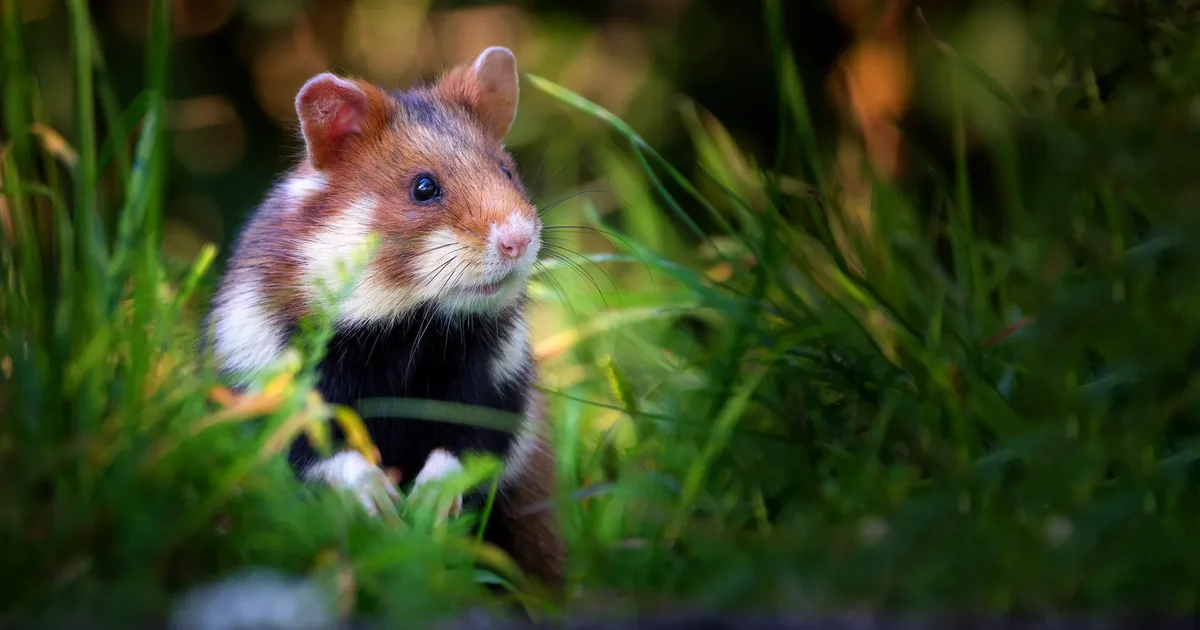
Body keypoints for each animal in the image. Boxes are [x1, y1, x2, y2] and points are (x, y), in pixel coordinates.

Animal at [205, 46, 566, 589]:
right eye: (424, 187)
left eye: (507, 171)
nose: (518, 241)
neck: (403, 328)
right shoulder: (268, 383)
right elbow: (321, 452)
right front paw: (386, 507)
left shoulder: (499, 390)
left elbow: (467, 448)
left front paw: (426, 506)